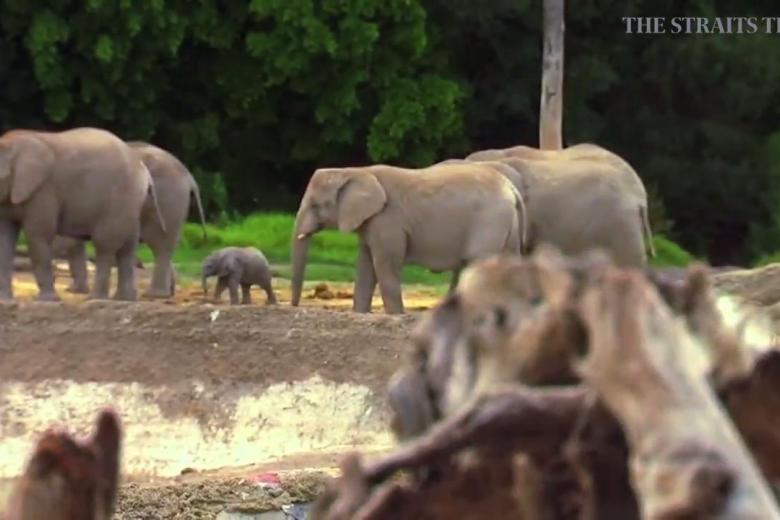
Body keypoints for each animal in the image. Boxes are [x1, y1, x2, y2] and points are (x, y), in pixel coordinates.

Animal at [0, 127, 165, 301]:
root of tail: (142, 167)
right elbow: (5, 238)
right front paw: (4, 299)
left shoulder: (44, 190)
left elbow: (38, 235)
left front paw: (47, 300)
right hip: (131, 204)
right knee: (127, 247)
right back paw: (124, 299)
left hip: (119, 198)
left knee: (105, 245)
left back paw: (96, 298)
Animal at [53, 142, 207, 297]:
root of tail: (189, 177)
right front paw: (75, 290)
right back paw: (167, 292)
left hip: (167, 200)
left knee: (160, 245)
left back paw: (154, 294)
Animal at [290, 163, 527, 314]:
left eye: (316, 205)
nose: (295, 307)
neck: (355, 171)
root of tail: (511, 188)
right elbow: (365, 268)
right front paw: (359, 314)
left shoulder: (387, 221)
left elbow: (386, 266)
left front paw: (397, 316)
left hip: (490, 220)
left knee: (477, 263)